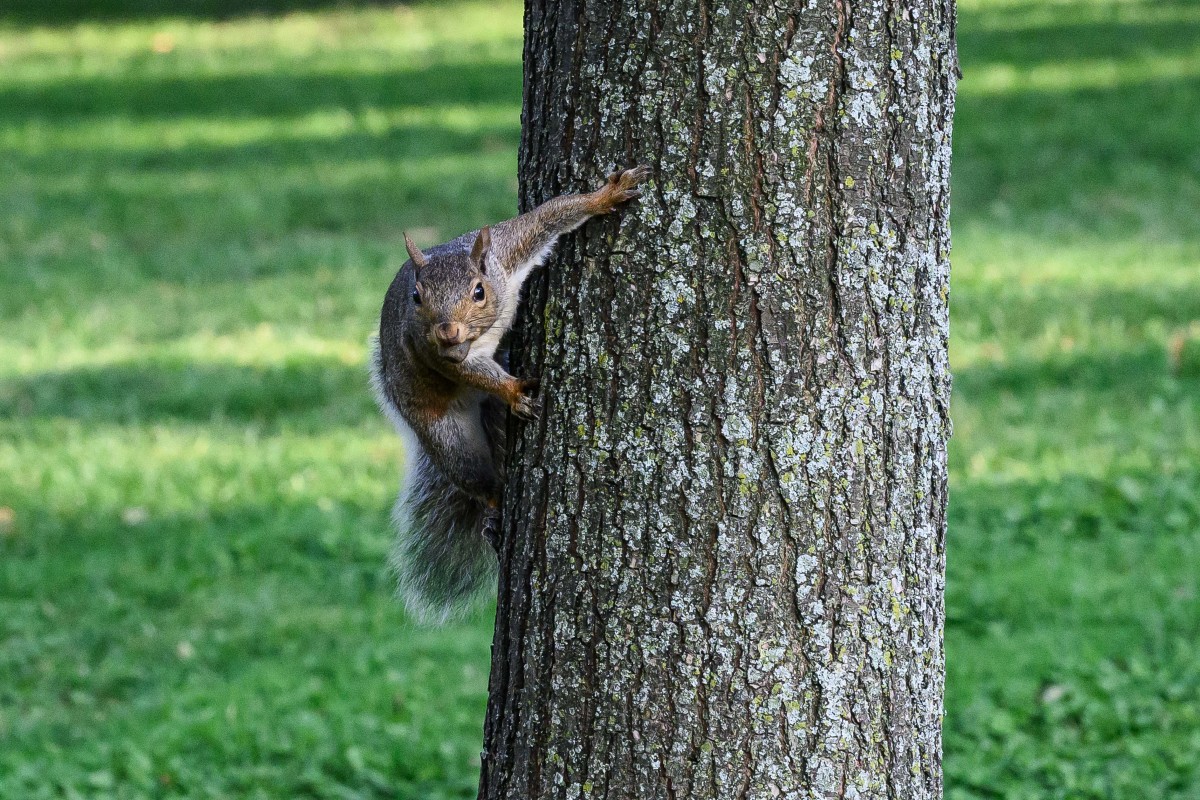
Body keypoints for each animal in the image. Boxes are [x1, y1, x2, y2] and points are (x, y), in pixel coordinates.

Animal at [370, 166, 648, 623]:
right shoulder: (440, 354)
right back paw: (494, 509)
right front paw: (516, 392)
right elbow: (470, 370)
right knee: (475, 478)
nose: (448, 332)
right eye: (416, 297)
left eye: (479, 290)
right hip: (446, 436)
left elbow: (550, 216)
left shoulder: (508, 248)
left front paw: (605, 196)